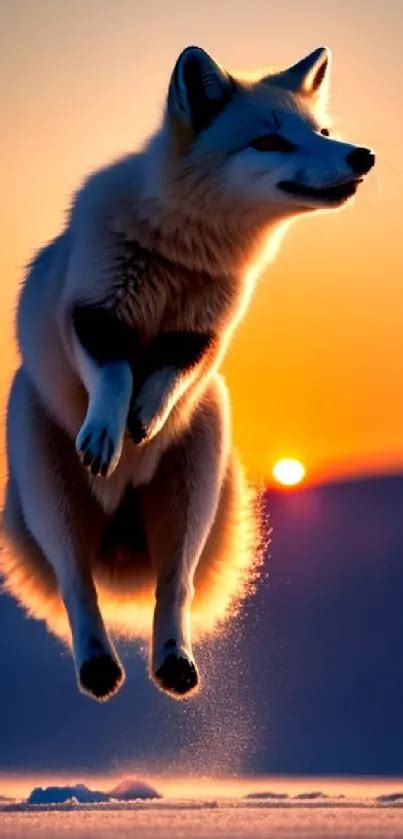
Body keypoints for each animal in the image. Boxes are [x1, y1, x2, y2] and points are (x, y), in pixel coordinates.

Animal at [1, 45, 374, 702]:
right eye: (270, 141)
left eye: (322, 133)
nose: (363, 155)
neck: (183, 254)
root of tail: (122, 532)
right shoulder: (94, 315)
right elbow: (115, 377)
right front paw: (108, 431)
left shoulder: (202, 335)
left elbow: (168, 377)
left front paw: (148, 416)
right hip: (53, 496)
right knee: (77, 585)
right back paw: (97, 663)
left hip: (192, 492)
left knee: (174, 587)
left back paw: (173, 661)